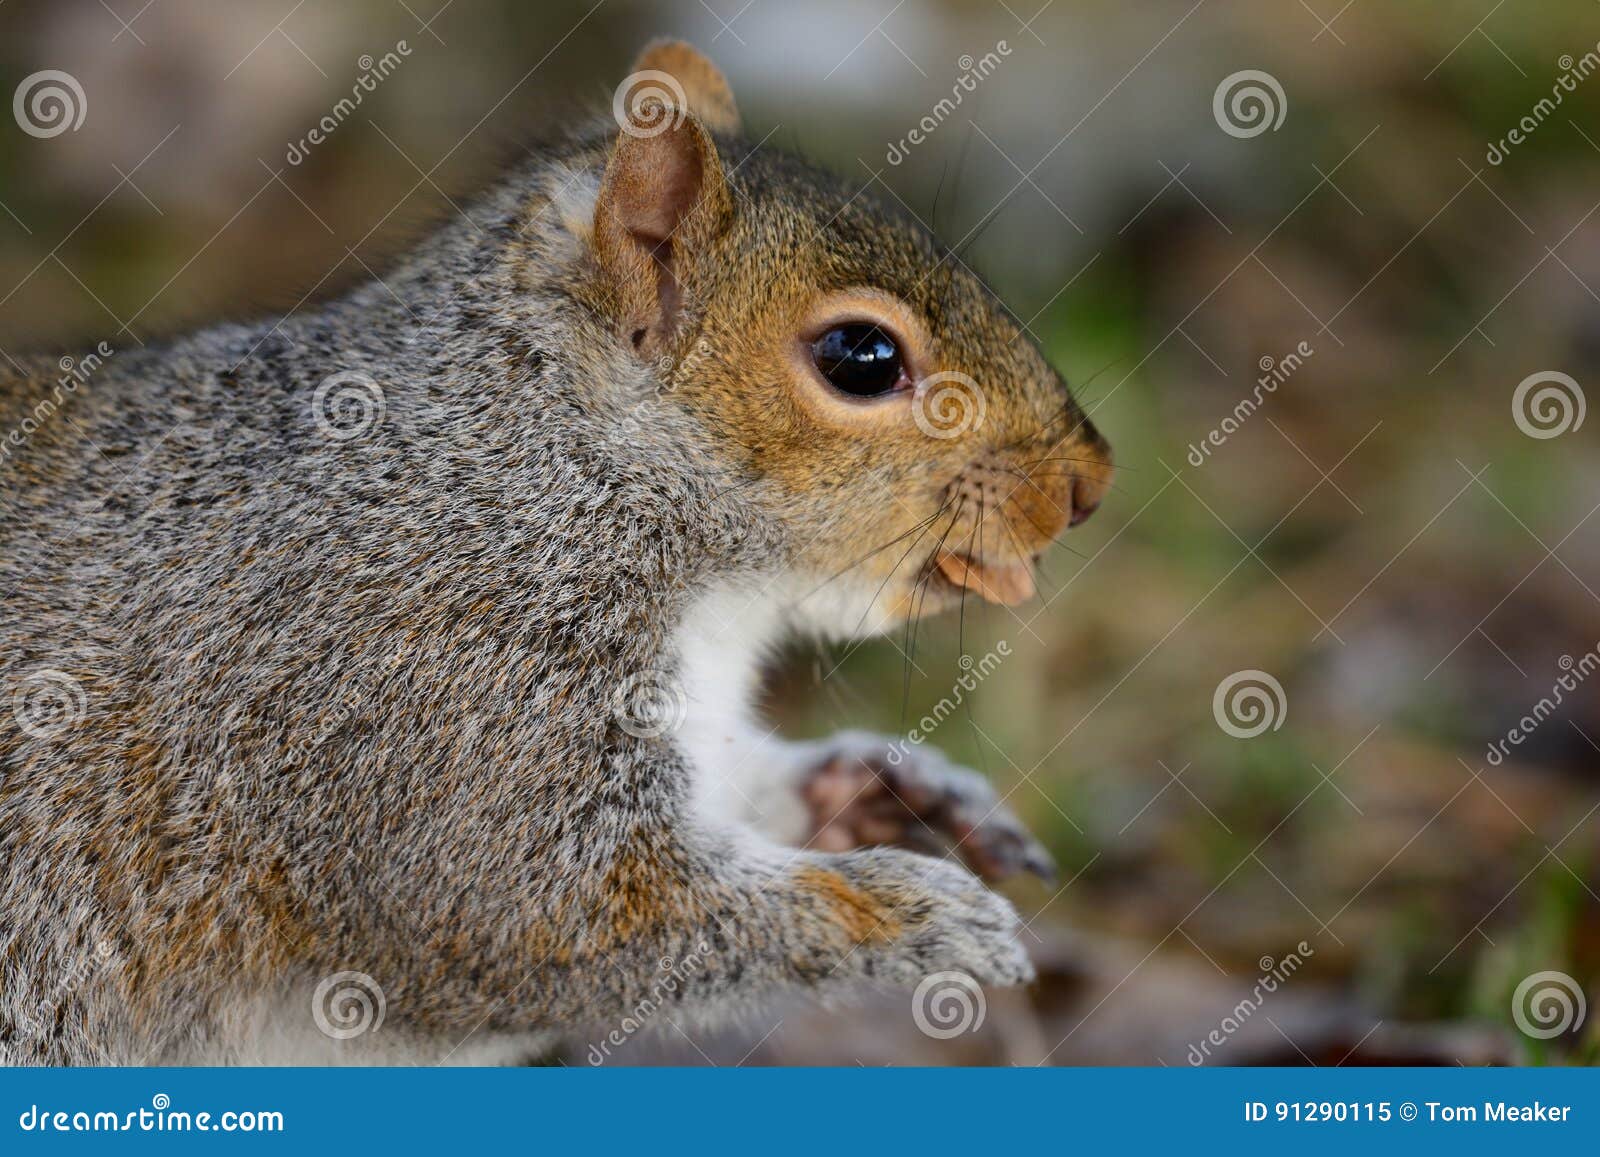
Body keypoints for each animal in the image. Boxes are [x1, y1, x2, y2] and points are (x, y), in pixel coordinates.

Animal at [0, 41, 1112, 1065]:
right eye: (861, 357)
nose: (1088, 484)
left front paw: (886, 791)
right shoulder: (431, 691)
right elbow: (545, 917)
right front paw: (911, 910)